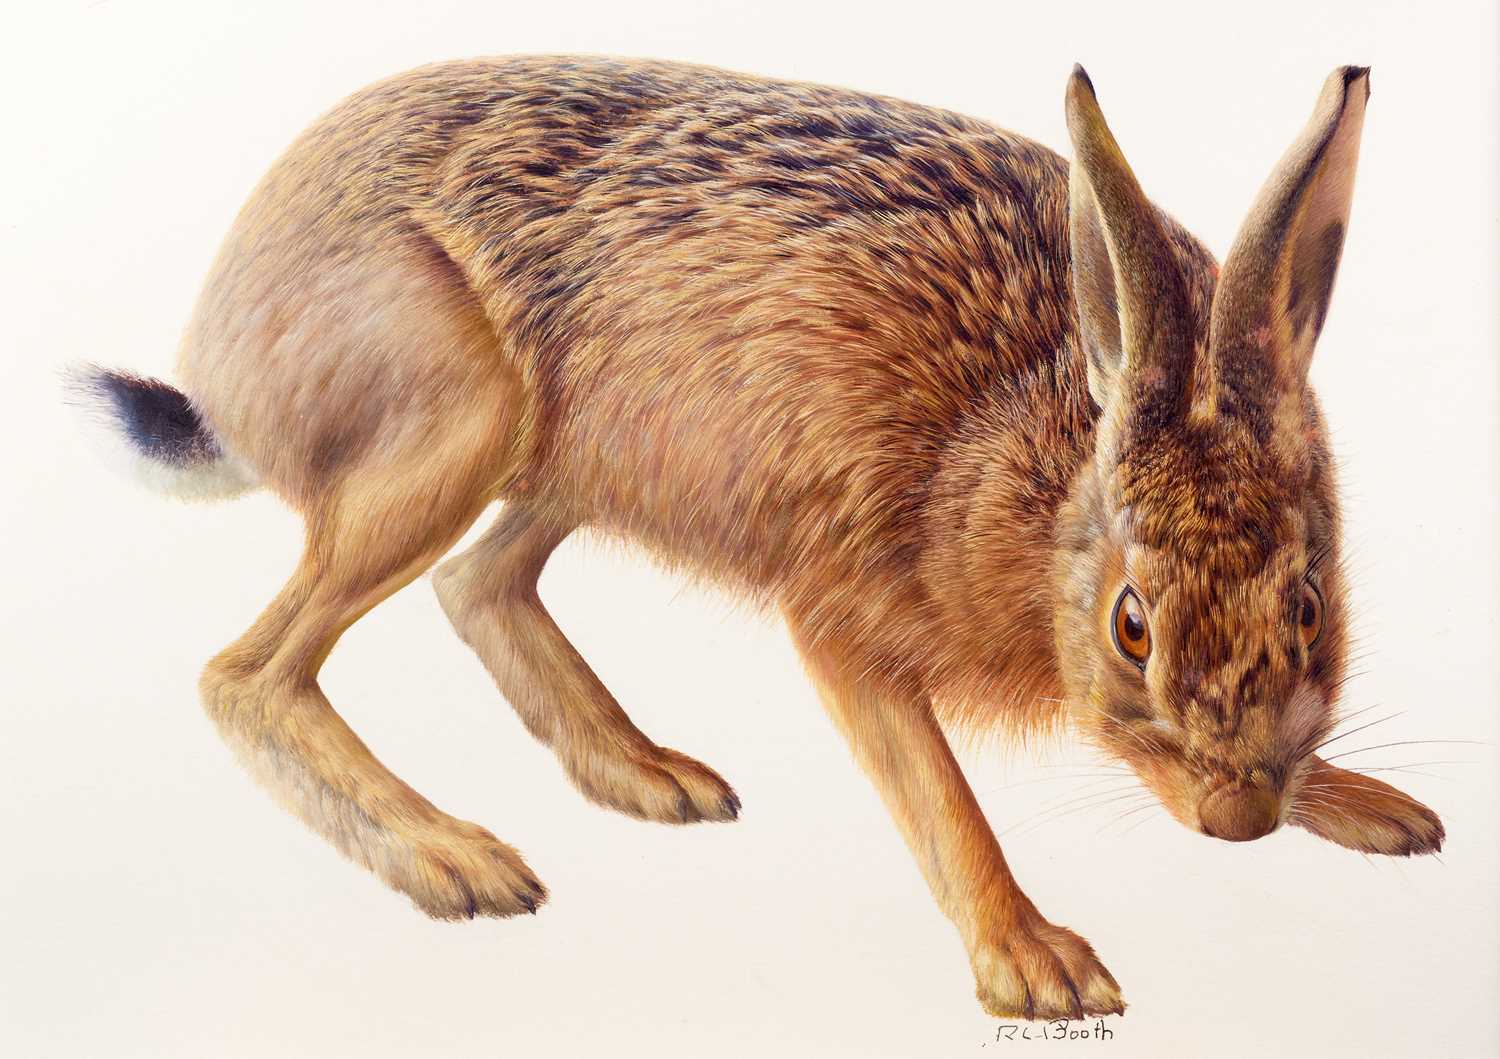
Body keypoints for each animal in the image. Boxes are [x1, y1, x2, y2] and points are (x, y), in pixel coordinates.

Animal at [71, 55, 1444, 1020]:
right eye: (1132, 624)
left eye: (1310, 606)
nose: (1235, 819)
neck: (1045, 464)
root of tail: (221, 357)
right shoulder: (843, 611)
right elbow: (940, 798)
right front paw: (1038, 966)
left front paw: (1378, 809)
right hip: (453, 413)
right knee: (251, 673)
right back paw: (455, 860)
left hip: (558, 453)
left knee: (477, 582)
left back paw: (649, 775)